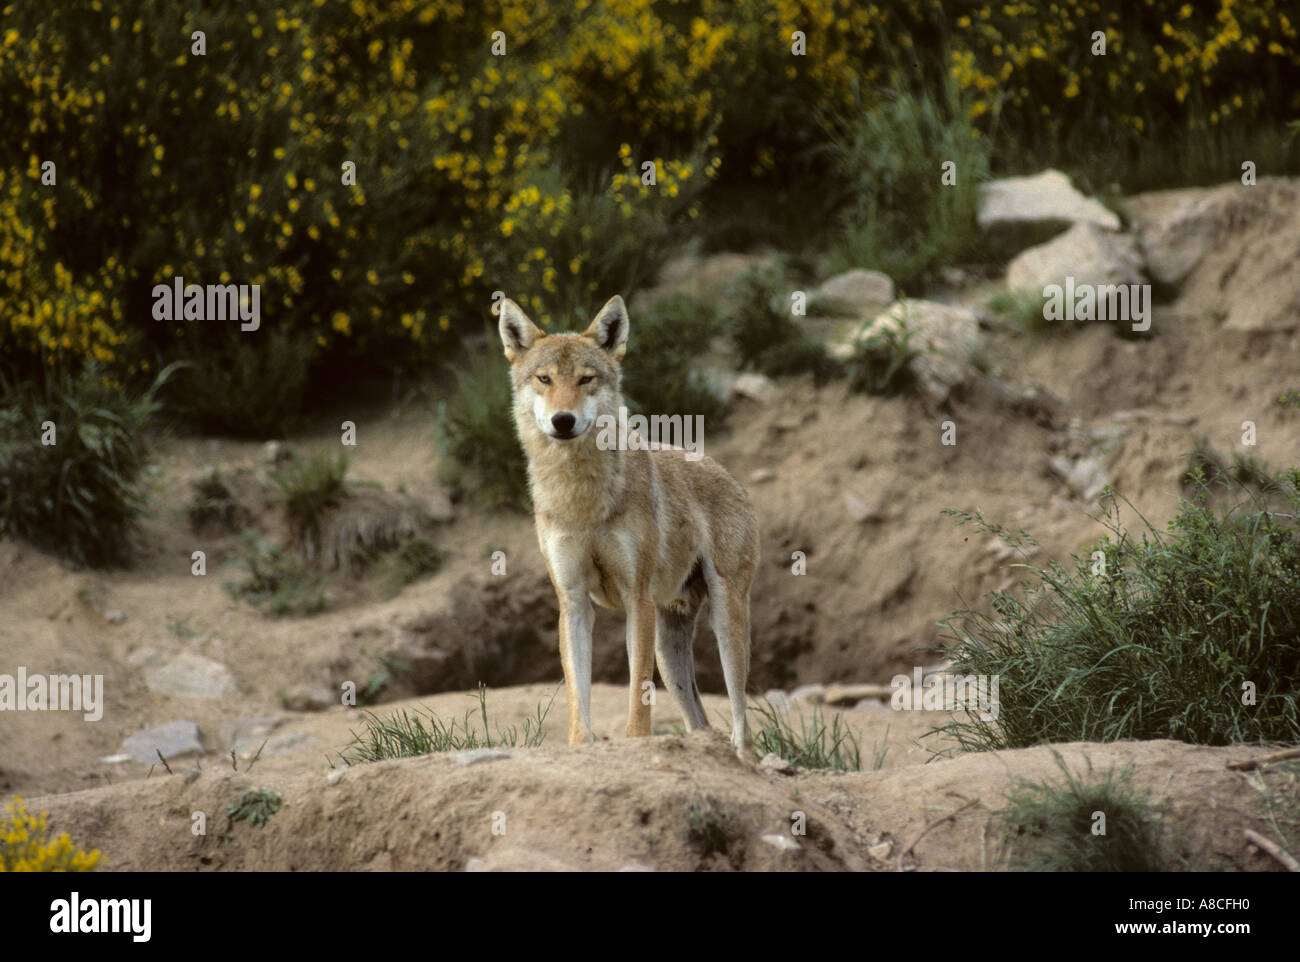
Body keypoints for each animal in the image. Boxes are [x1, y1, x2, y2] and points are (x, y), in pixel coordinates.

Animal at [498, 294, 760, 758]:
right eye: (544, 379)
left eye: (586, 379)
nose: (563, 420)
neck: (582, 500)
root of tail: (727, 473)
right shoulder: (573, 602)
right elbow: (577, 695)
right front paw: (581, 746)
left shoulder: (638, 598)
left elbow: (638, 697)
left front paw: (638, 745)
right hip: (670, 651)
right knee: (700, 721)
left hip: (724, 624)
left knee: (740, 724)